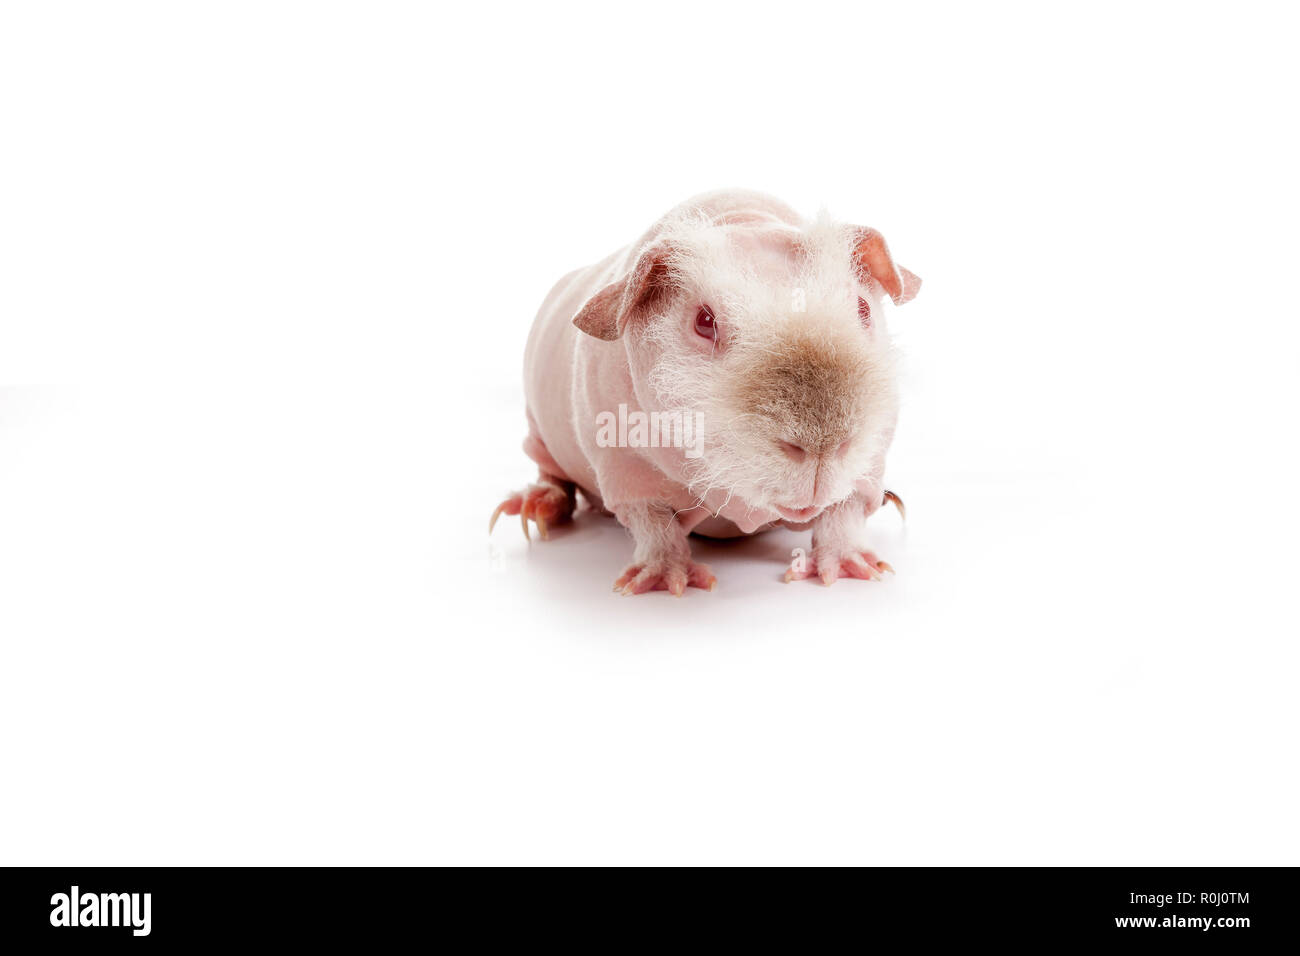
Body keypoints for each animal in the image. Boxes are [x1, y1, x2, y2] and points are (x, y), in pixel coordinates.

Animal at [490, 189, 921, 594]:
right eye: (704, 321)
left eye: (862, 308)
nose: (821, 447)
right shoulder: (625, 471)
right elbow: (653, 524)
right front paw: (666, 582)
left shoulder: (870, 463)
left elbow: (844, 510)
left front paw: (854, 570)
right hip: (538, 433)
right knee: (551, 478)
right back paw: (530, 508)